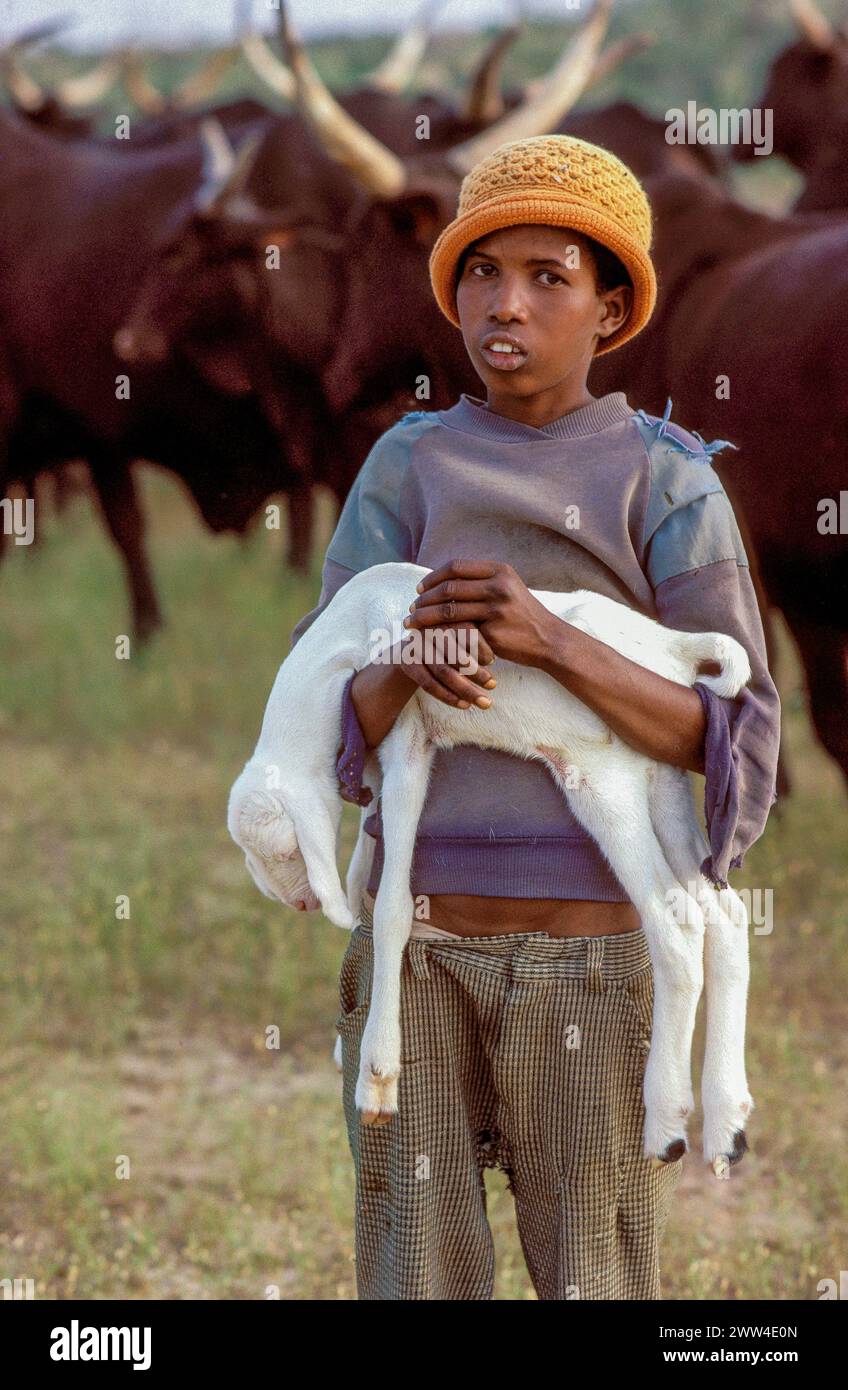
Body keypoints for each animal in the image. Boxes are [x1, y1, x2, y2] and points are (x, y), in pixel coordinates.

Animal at [228, 561, 754, 1179]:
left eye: (285, 851)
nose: (301, 902)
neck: (349, 625)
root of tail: (673, 649)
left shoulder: (406, 738)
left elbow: (390, 909)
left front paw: (377, 1075)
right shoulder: (377, 762)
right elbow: (361, 877)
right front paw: (344, 1048)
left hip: (606, 778)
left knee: (677, 925)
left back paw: (667, 1122)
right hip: (664, 779)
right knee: (723, 915)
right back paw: (726, 1122)